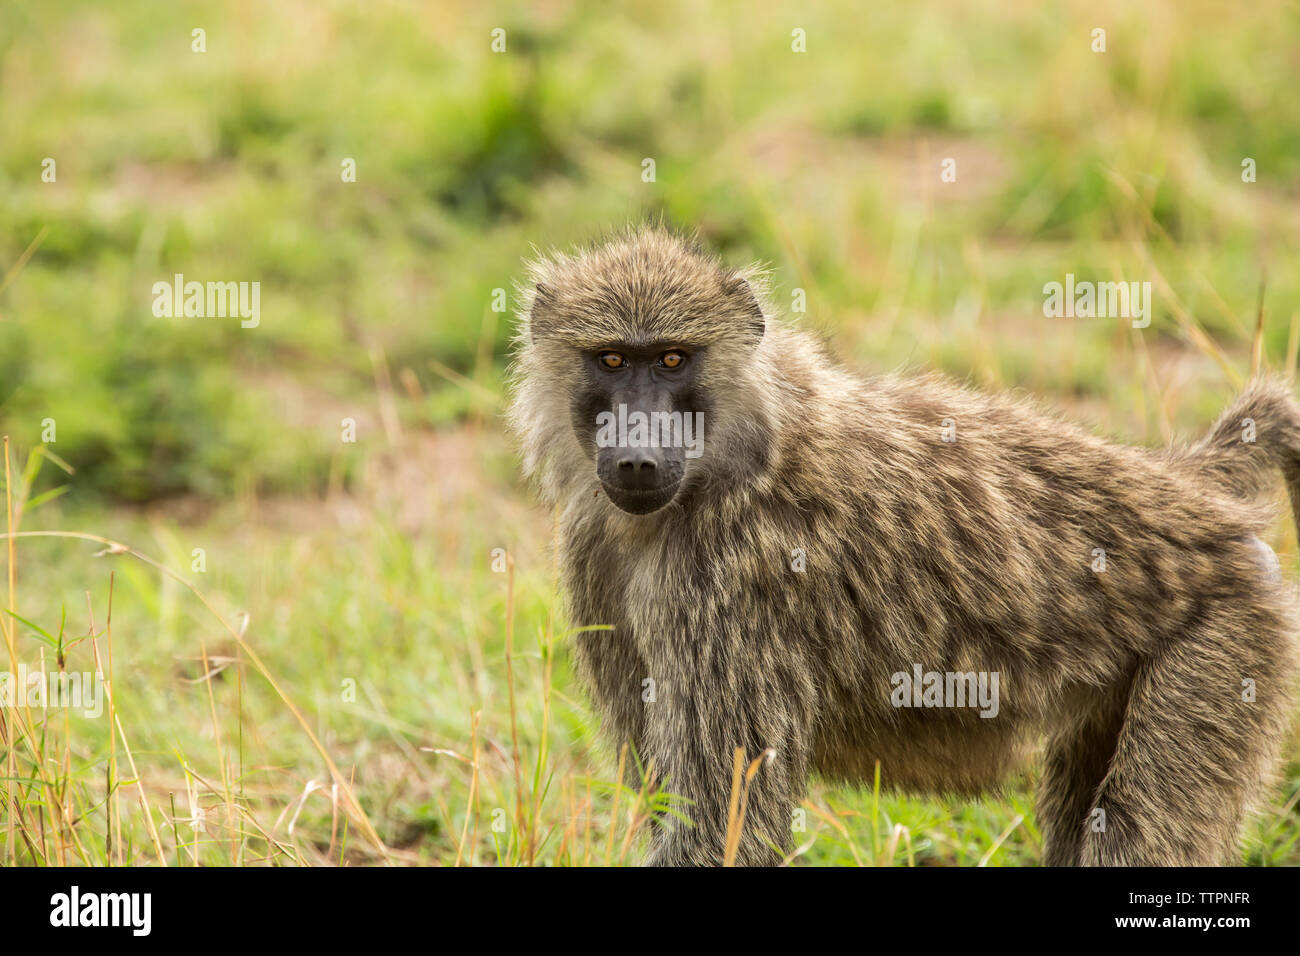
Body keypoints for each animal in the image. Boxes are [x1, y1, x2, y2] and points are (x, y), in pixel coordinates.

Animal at [507, 225, 1300, 866]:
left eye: (672, 360)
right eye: (612, 361)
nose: (639, 456)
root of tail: (1193, 491)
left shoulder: (726, 585)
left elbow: (721, 830)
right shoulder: (595, 550)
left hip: (1226, 635)